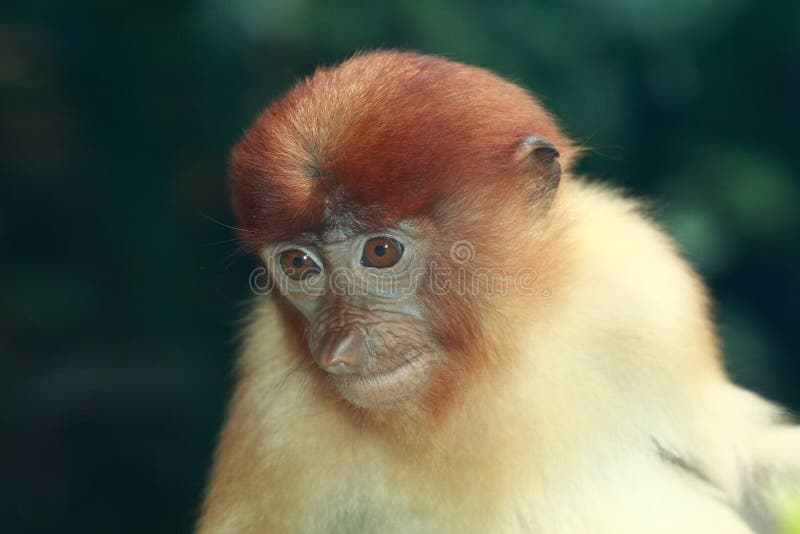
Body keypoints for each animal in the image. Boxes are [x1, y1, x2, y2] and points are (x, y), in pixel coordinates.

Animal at [198, 51, 800, 533]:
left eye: (381, 252)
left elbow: (745, 458)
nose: (337, 351)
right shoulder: (273, 400)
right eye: (298, 264)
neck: (489, 357)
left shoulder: (642, 291)